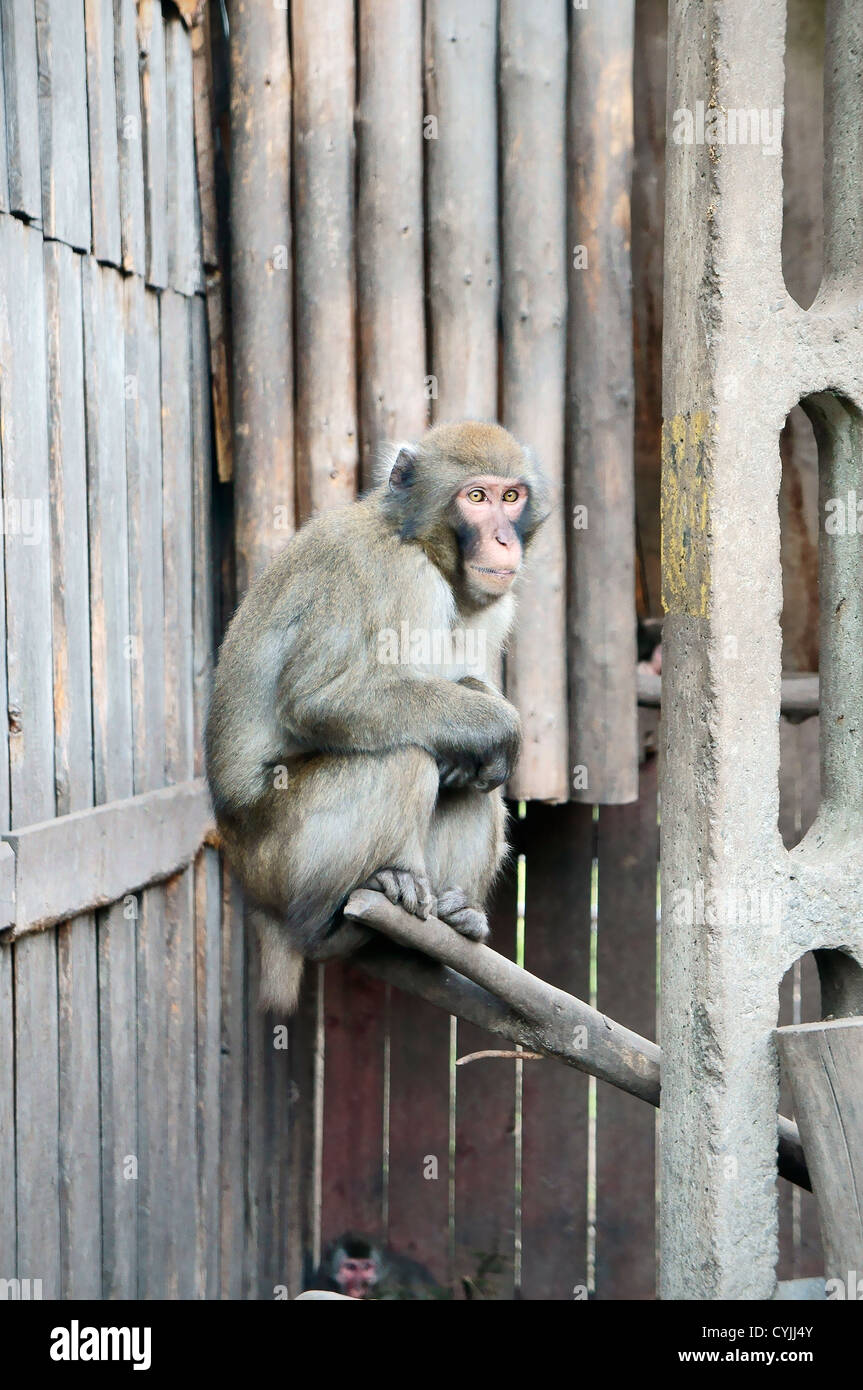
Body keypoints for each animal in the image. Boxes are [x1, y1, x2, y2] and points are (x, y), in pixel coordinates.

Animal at [205, 420, 550, 1012]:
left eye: (512, 497)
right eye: (476, 498)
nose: (505, 540)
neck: (420, 544)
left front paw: (477, 721)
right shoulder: (398, 575)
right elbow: (321, 698)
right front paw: (500, 725)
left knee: (472, 784)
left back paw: (456, 916)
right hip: (283, 859)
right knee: (401, 757)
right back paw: (352, 909)